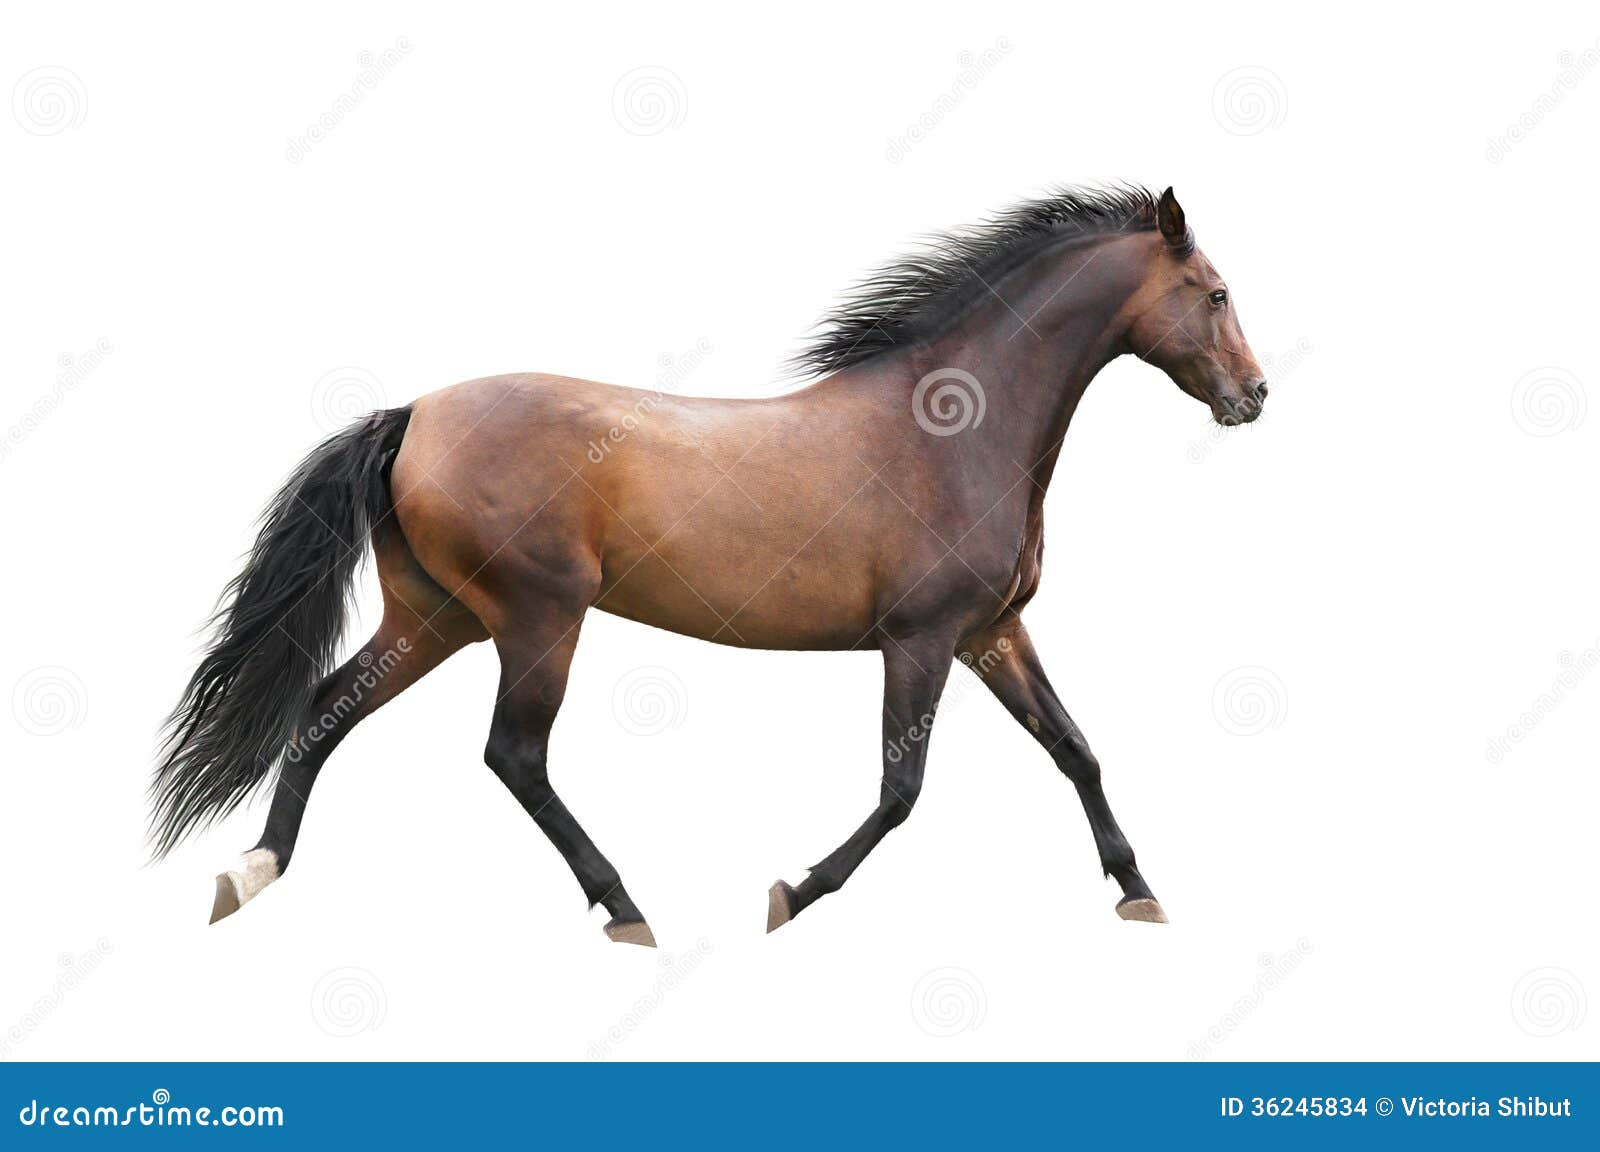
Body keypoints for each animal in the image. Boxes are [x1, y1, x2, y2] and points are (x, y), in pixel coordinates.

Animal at [152, 186, 1267, 945]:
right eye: (1214, 293)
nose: (1254, 396)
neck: (953, 428)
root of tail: (413, 414)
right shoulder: (920, 640)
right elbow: (901, 790)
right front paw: (791, 894)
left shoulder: (993, 631)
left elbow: (1075, 749)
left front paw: (1140, 893)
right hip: (538, 618)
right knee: (513, 755)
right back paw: (624, 907)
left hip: (437, 619)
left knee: (324, 710)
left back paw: (251, 874)